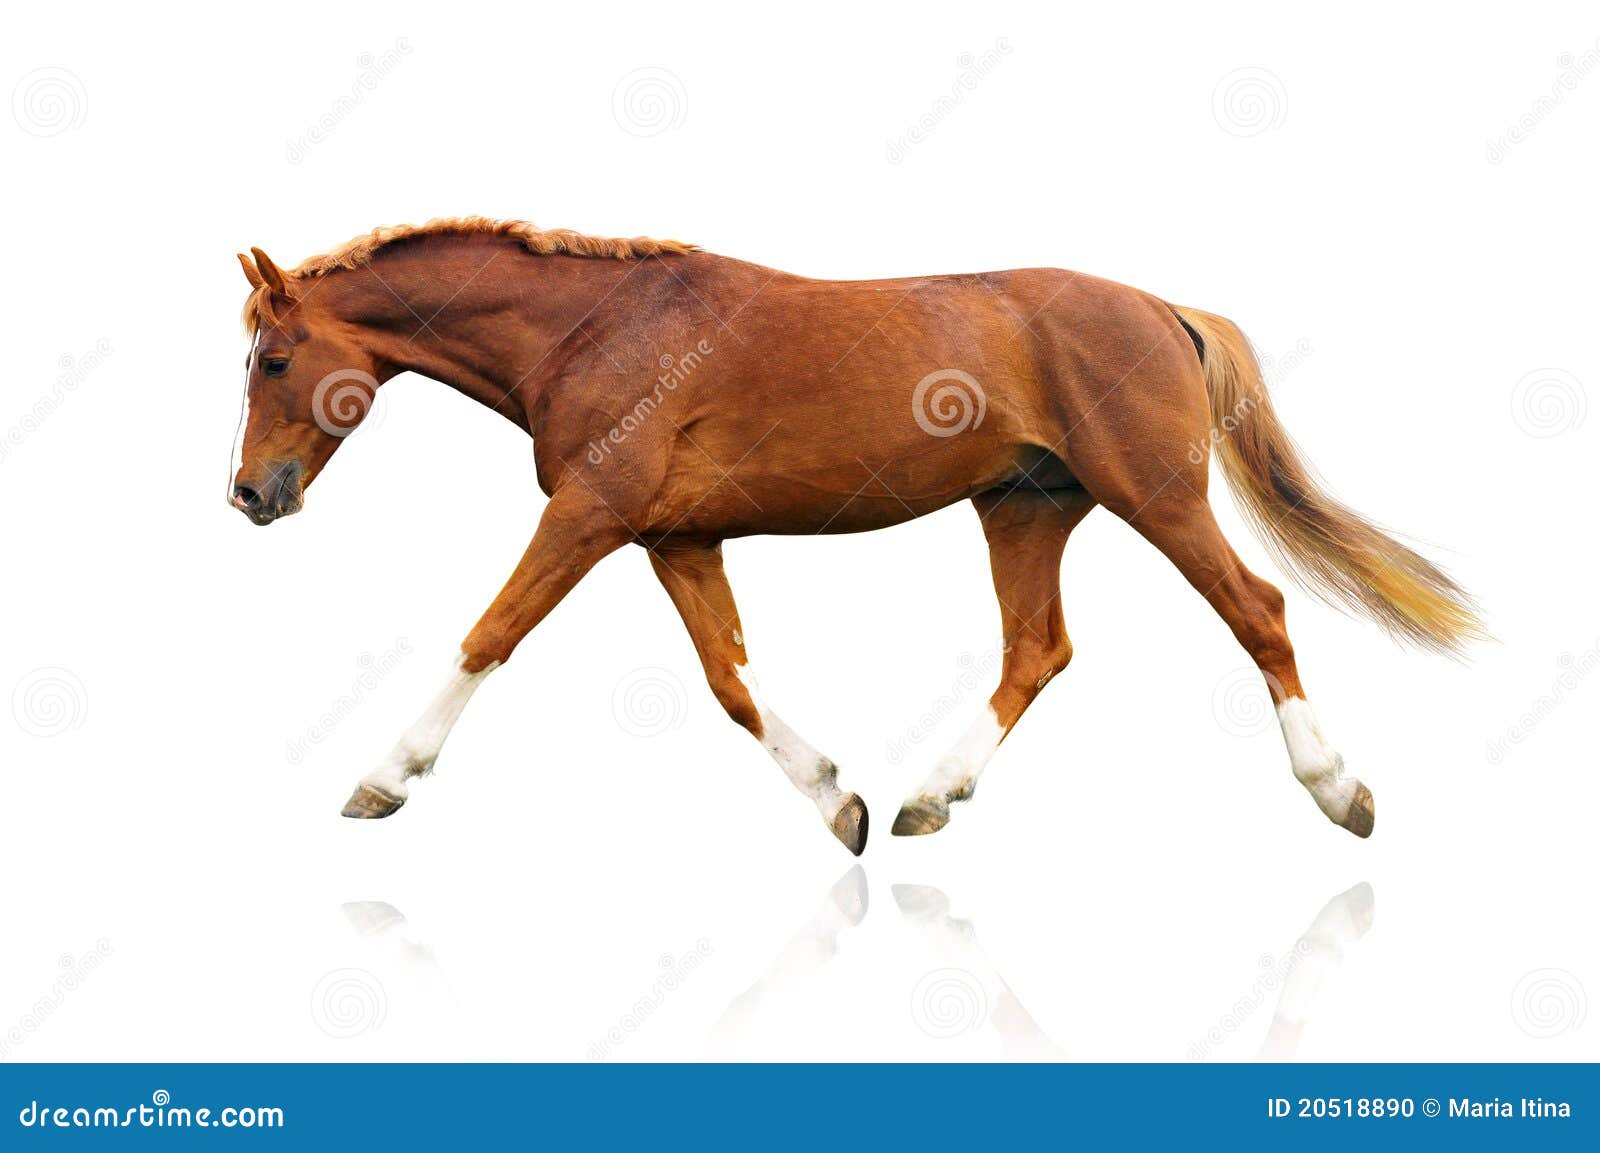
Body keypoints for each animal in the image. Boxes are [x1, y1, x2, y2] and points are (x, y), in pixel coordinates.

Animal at [229, 217, 1483, 855]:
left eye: (274, 359)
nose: (249, 495)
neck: (594, 330)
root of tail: (1165, 309)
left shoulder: (586, 517)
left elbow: (487, 636)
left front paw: (381, 780)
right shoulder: (673, 540)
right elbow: (730, 682)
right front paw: (841, 803)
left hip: (1156, 499)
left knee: (1256, 612)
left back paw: (1339, 792)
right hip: (1024, 509)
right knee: (1038, 649)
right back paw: (930, 798)